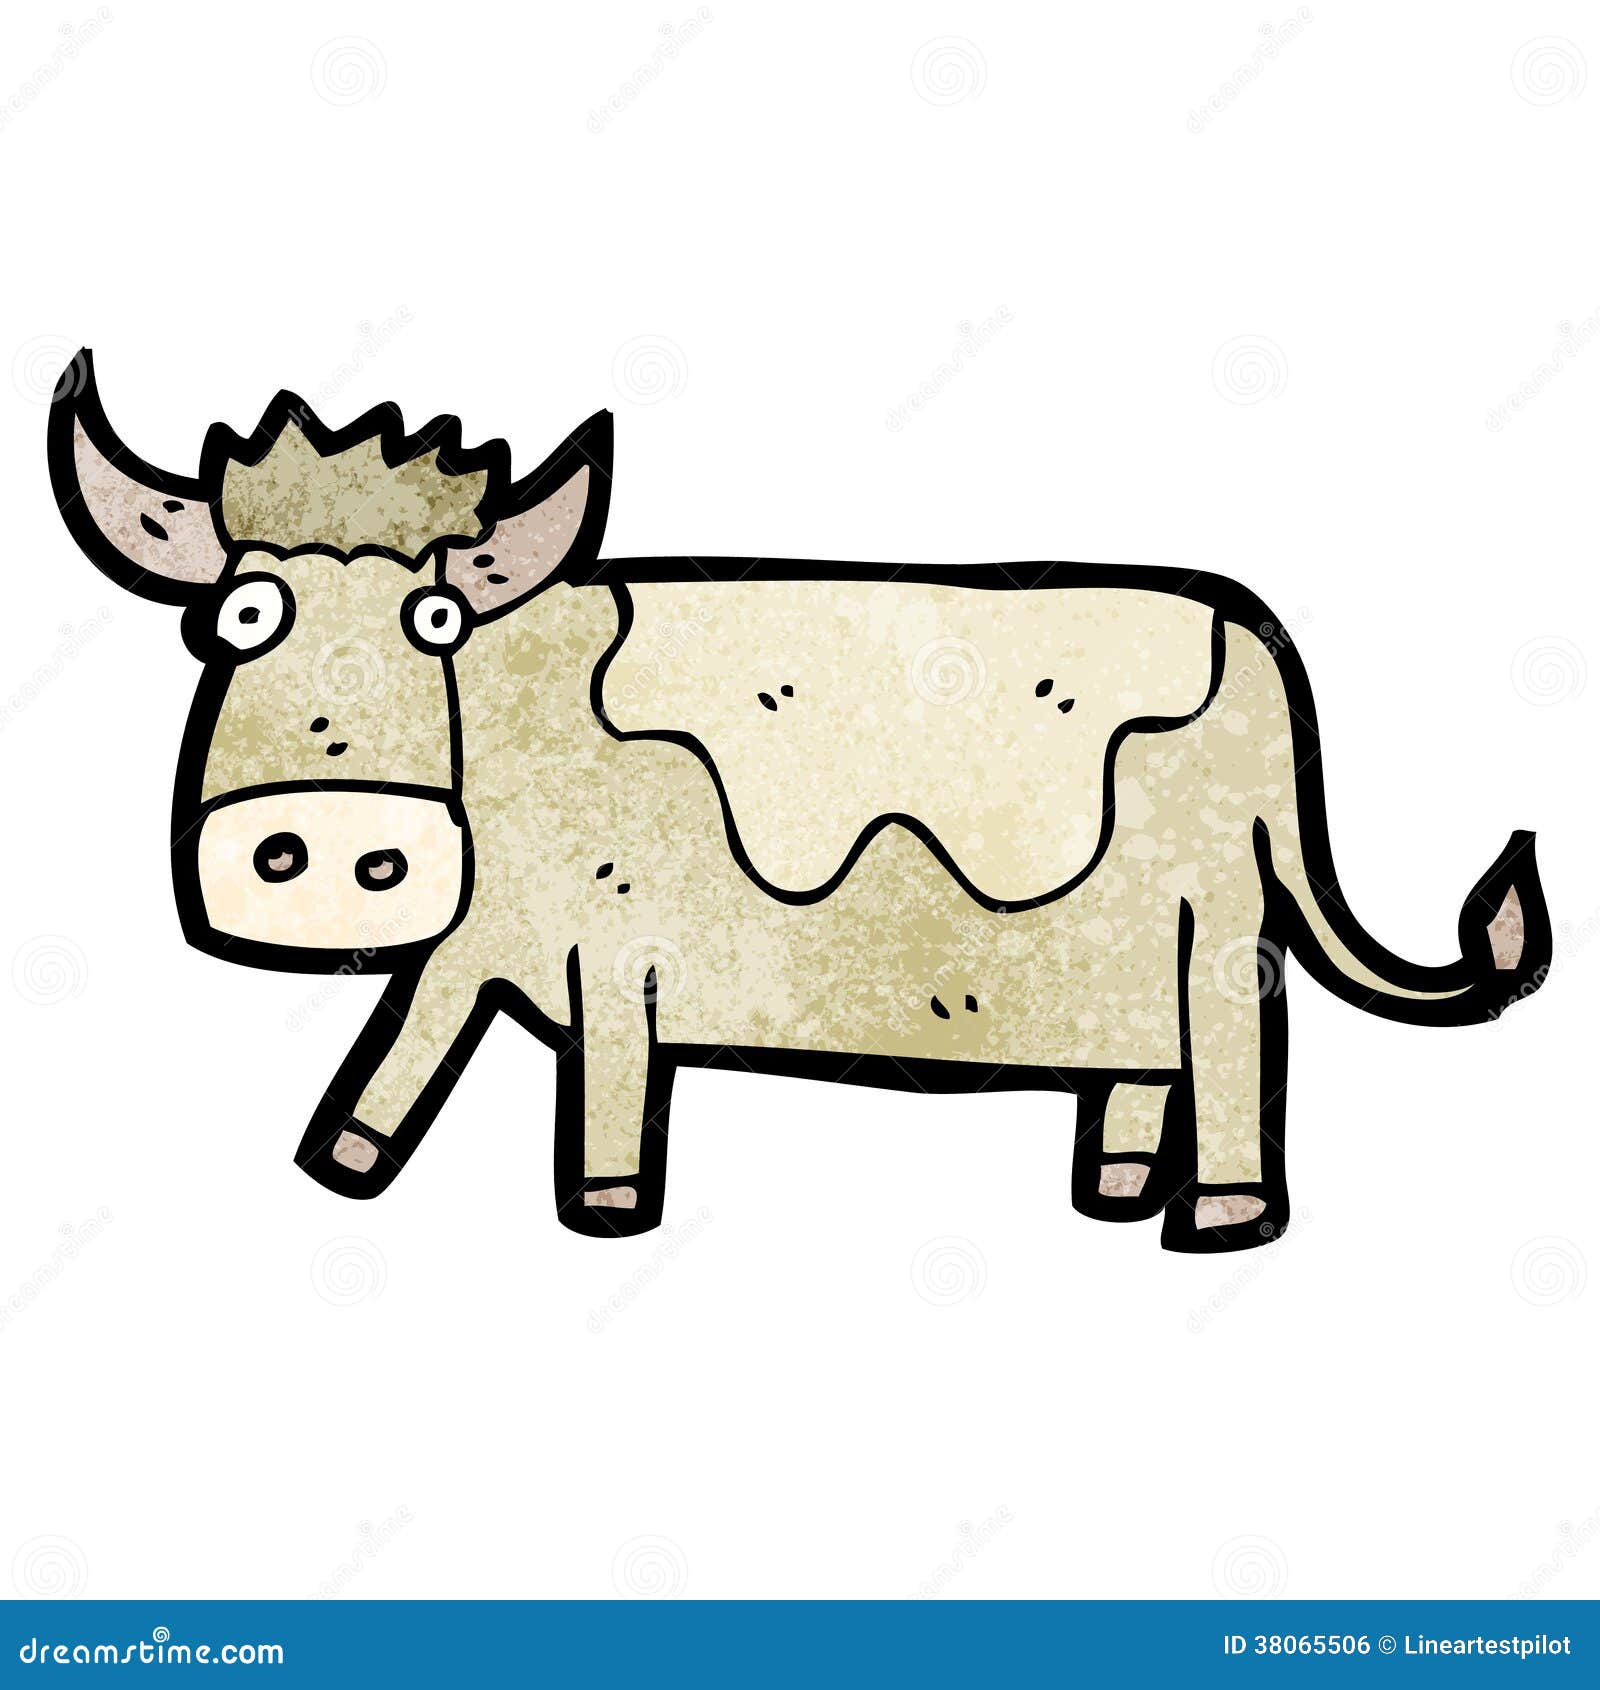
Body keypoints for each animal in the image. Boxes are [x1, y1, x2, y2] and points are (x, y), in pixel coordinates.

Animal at [48, 352, 1551, 1253]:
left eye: (433, 618)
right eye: (239, 612)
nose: (329, 846)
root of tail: (1254, 643)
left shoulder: (615, 952)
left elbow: (605, 1078)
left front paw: (605, 1204)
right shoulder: (477, 935)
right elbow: (407, 1037)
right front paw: (349, 1160)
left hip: (1216, 925)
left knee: (1231, 1055)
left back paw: (1224, 1213)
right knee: (1143, 1071)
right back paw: (1120, 1193)